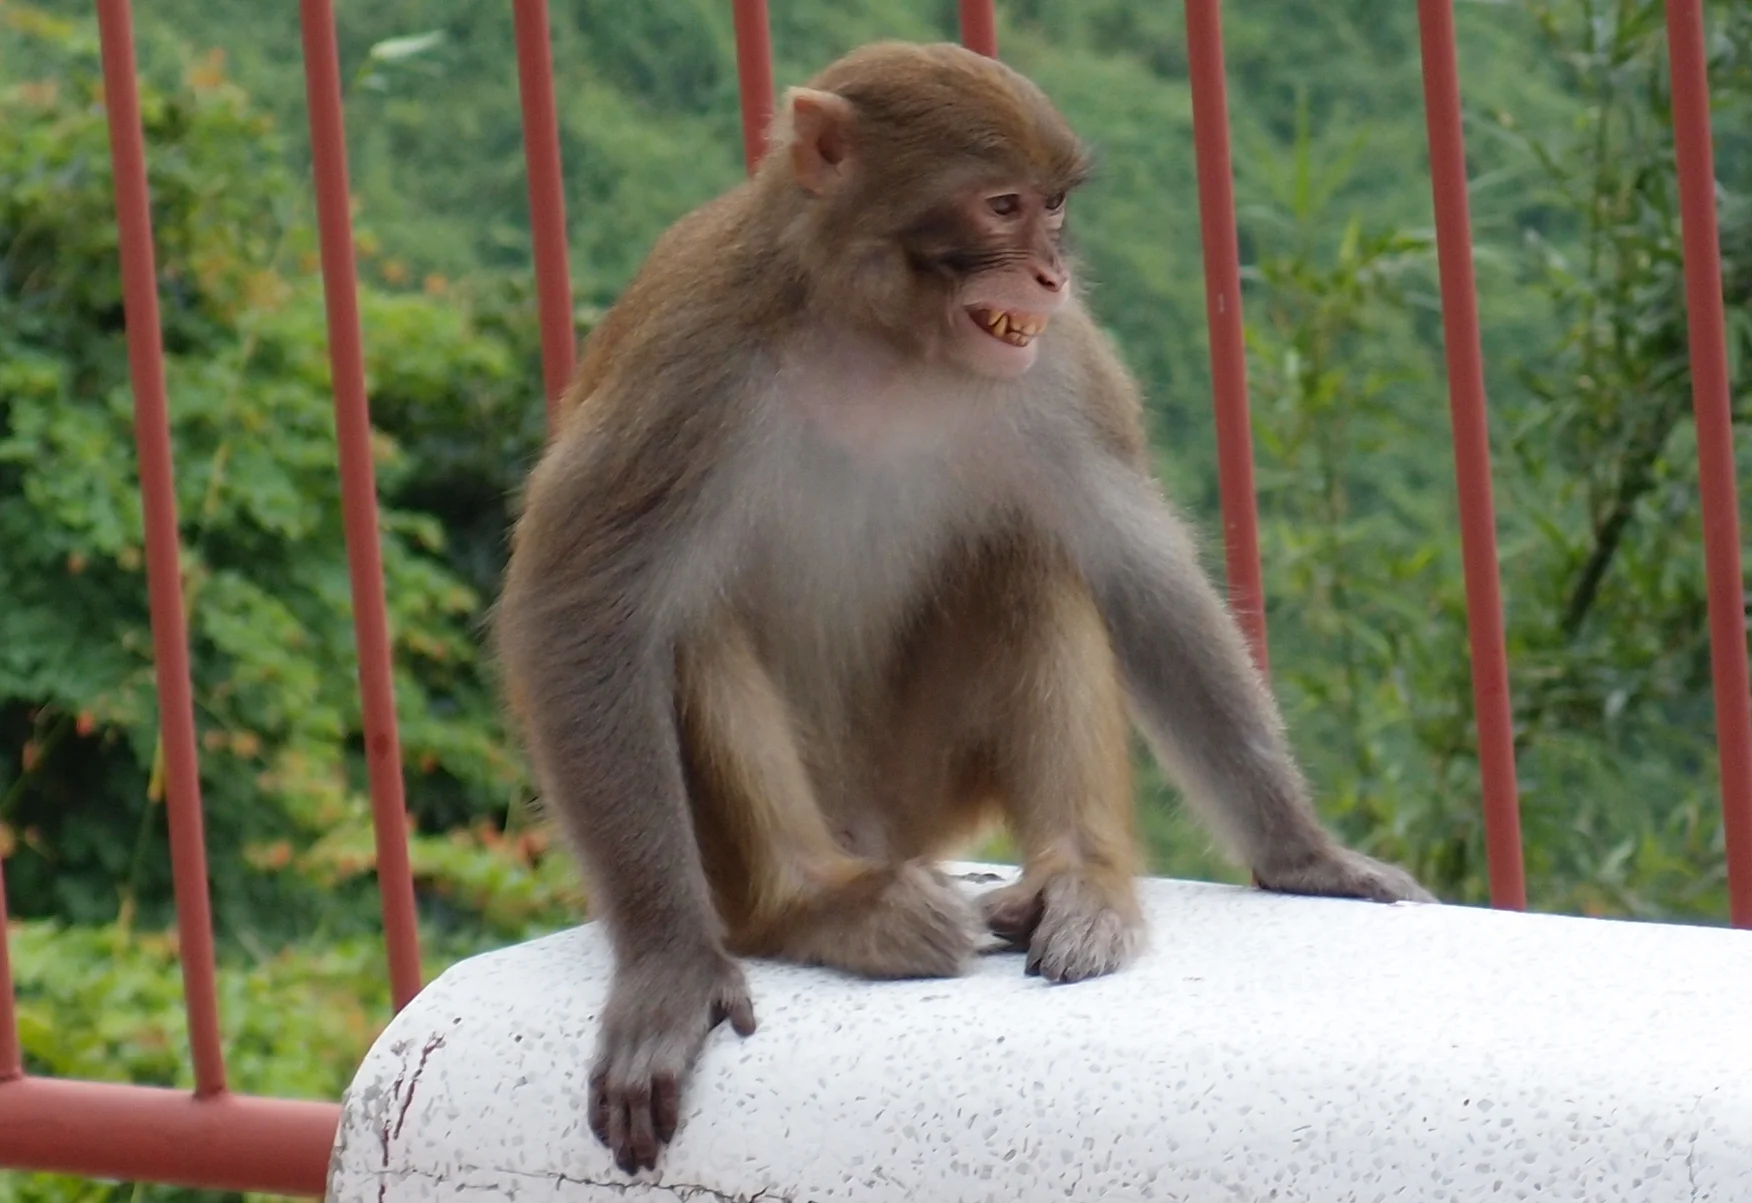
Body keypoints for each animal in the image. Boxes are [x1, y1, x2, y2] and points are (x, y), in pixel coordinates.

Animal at [493, 40, 1434, 1174]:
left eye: (1054, 207)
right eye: (1002, 205)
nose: (1052, 272)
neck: (875, 338)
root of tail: (871, 831)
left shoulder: (1060, 361)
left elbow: (1135, 566)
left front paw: (1308, 856)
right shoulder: (687, 357)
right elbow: (585, 609)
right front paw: (671, 966)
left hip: (923, 788)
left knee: (1030, 555)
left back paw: (1077, 880)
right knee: (691, 627)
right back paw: (820, 904)